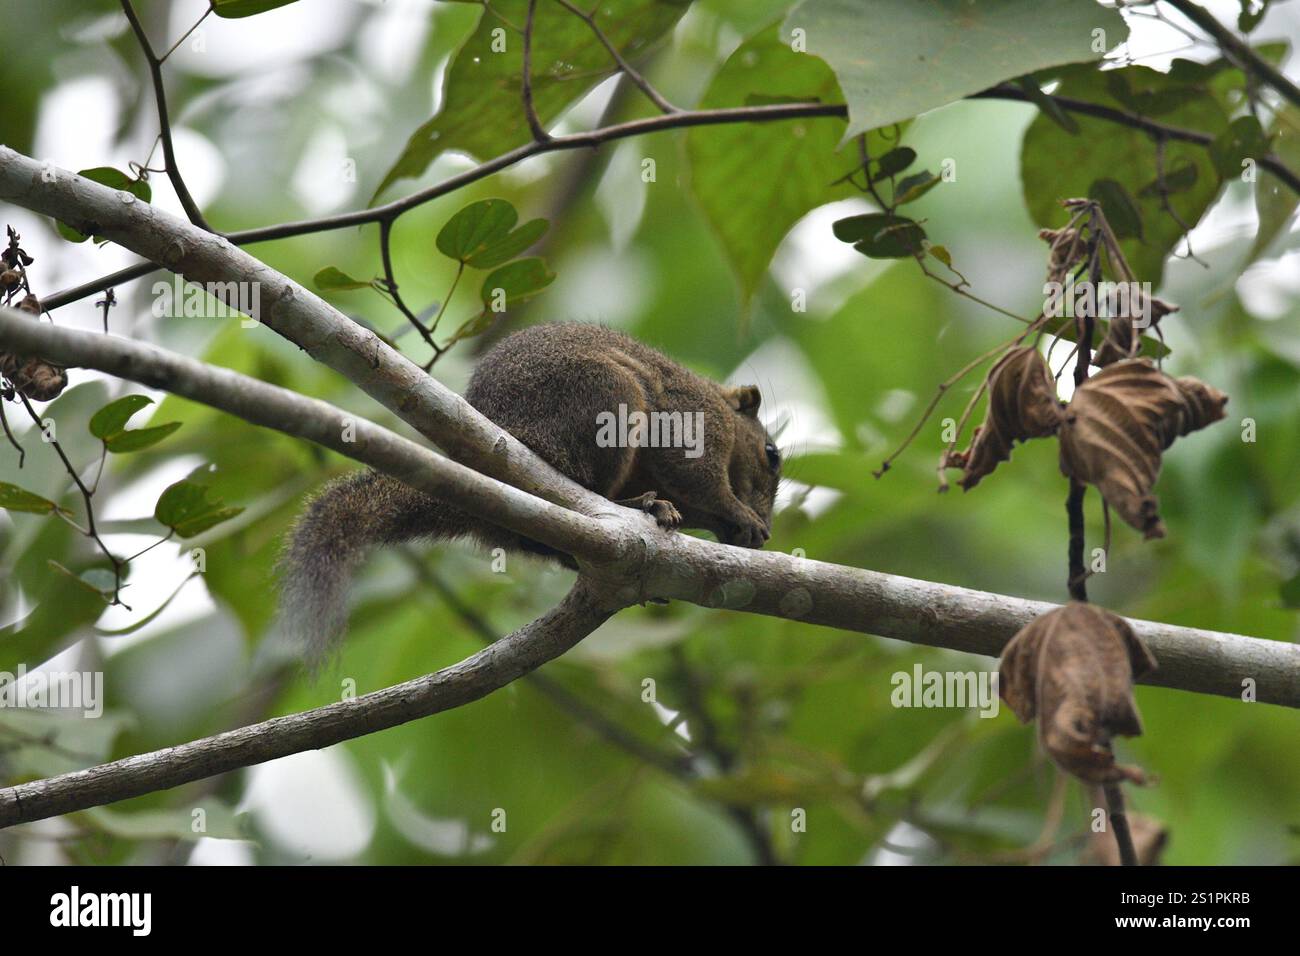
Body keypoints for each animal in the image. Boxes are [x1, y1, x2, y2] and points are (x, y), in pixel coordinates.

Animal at [278, 322, 782, 663]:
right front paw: (741, 514)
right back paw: (640, 504)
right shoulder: (692, 420)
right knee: (585, 481)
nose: (768, 527)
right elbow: (697, 475)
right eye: (772, 454)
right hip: (605, 396)